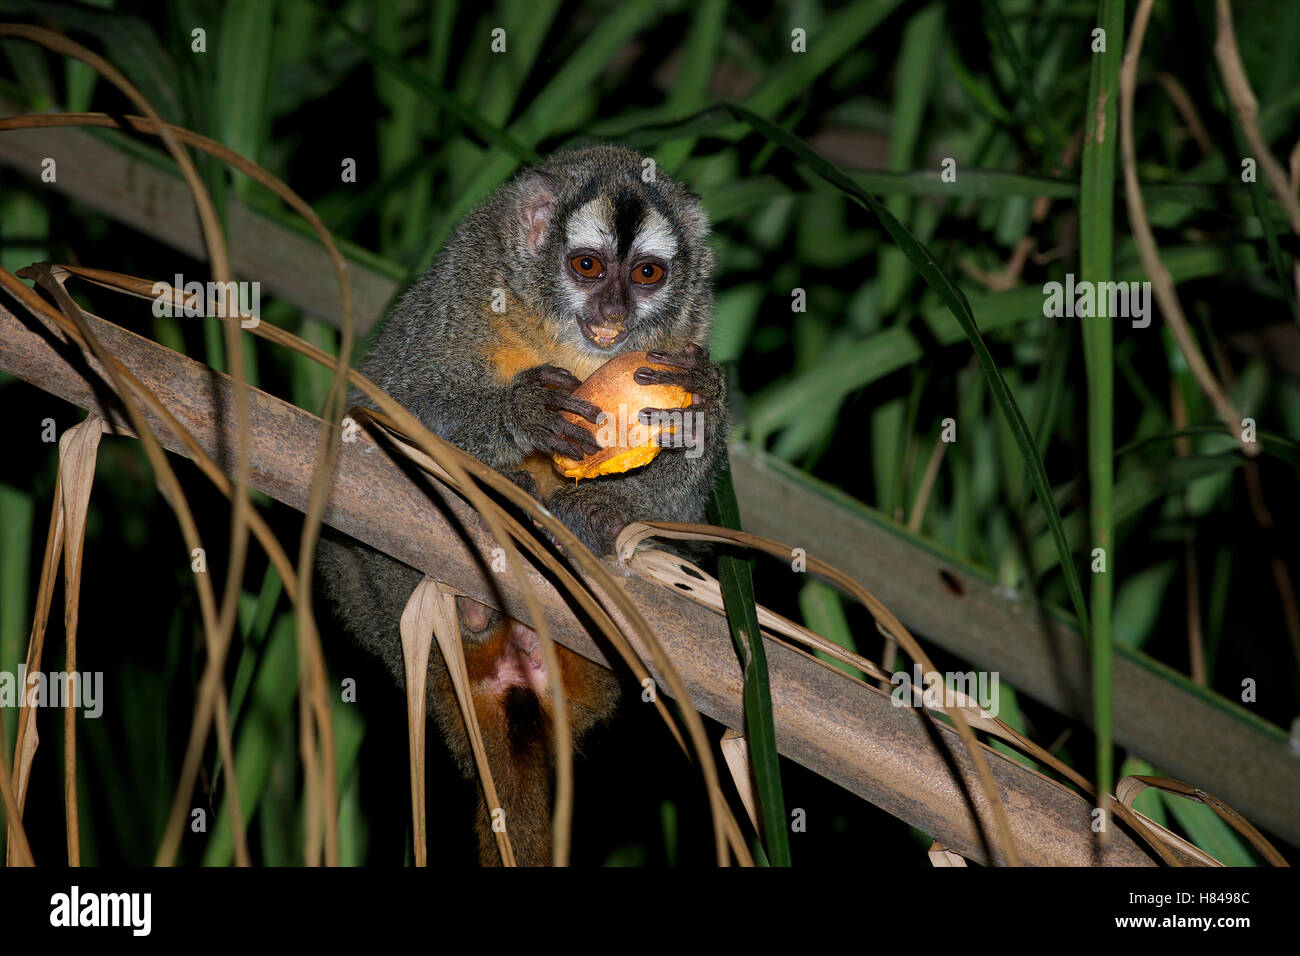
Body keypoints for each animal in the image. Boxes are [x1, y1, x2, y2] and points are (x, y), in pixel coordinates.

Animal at [317, 145, 727, 866]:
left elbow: (681, 515)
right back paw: (477, 595)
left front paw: (695, 406)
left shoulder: (688, 330)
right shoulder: (462, 286)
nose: (614, 310)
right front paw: (525, 415)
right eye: (587, 266)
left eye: (647, 274)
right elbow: (387, 410)